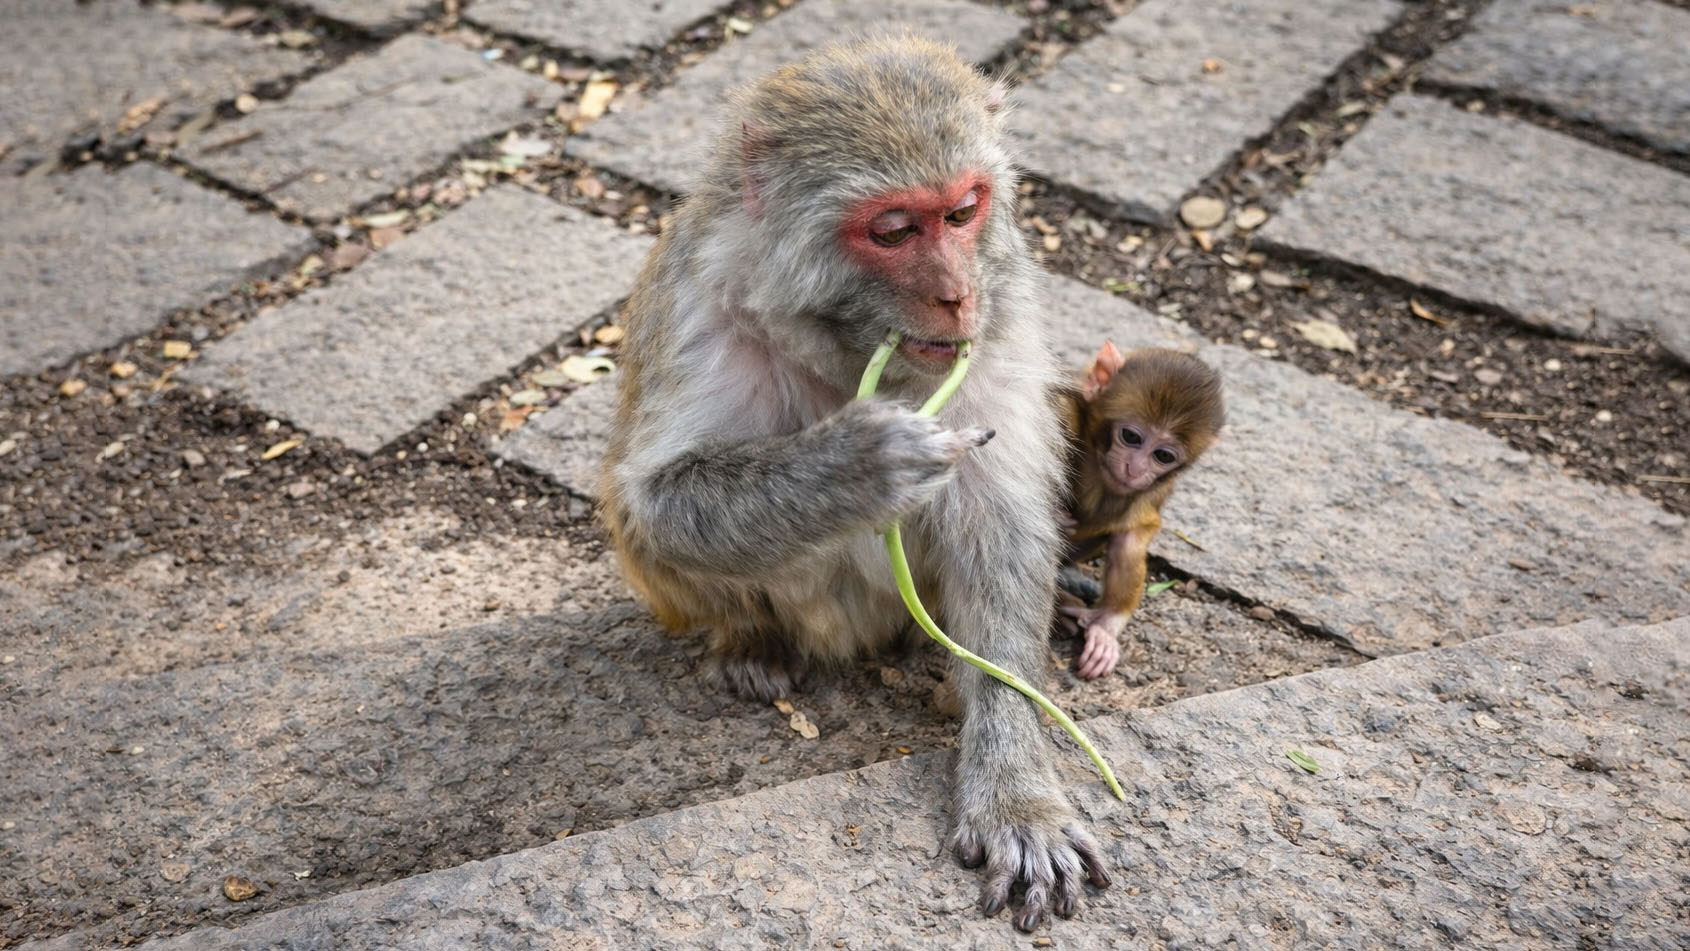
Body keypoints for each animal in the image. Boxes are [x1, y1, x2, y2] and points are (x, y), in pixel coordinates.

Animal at [598, 36, 1109, 931]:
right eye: (894, 228)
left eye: (963, 211)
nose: (956, 294)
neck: (844, 345)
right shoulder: (700, 314)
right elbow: (652, 503)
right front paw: (864, 461)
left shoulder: (1001, 321)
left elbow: (998, 524)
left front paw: (1016, 793)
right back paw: (750, 642)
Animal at [1056, 341, 1224, 680]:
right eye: (1131, 437)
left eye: (1163, 456)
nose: (1135, 469)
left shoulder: (1155, 489)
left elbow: (1131, 538)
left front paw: (1105, 627)